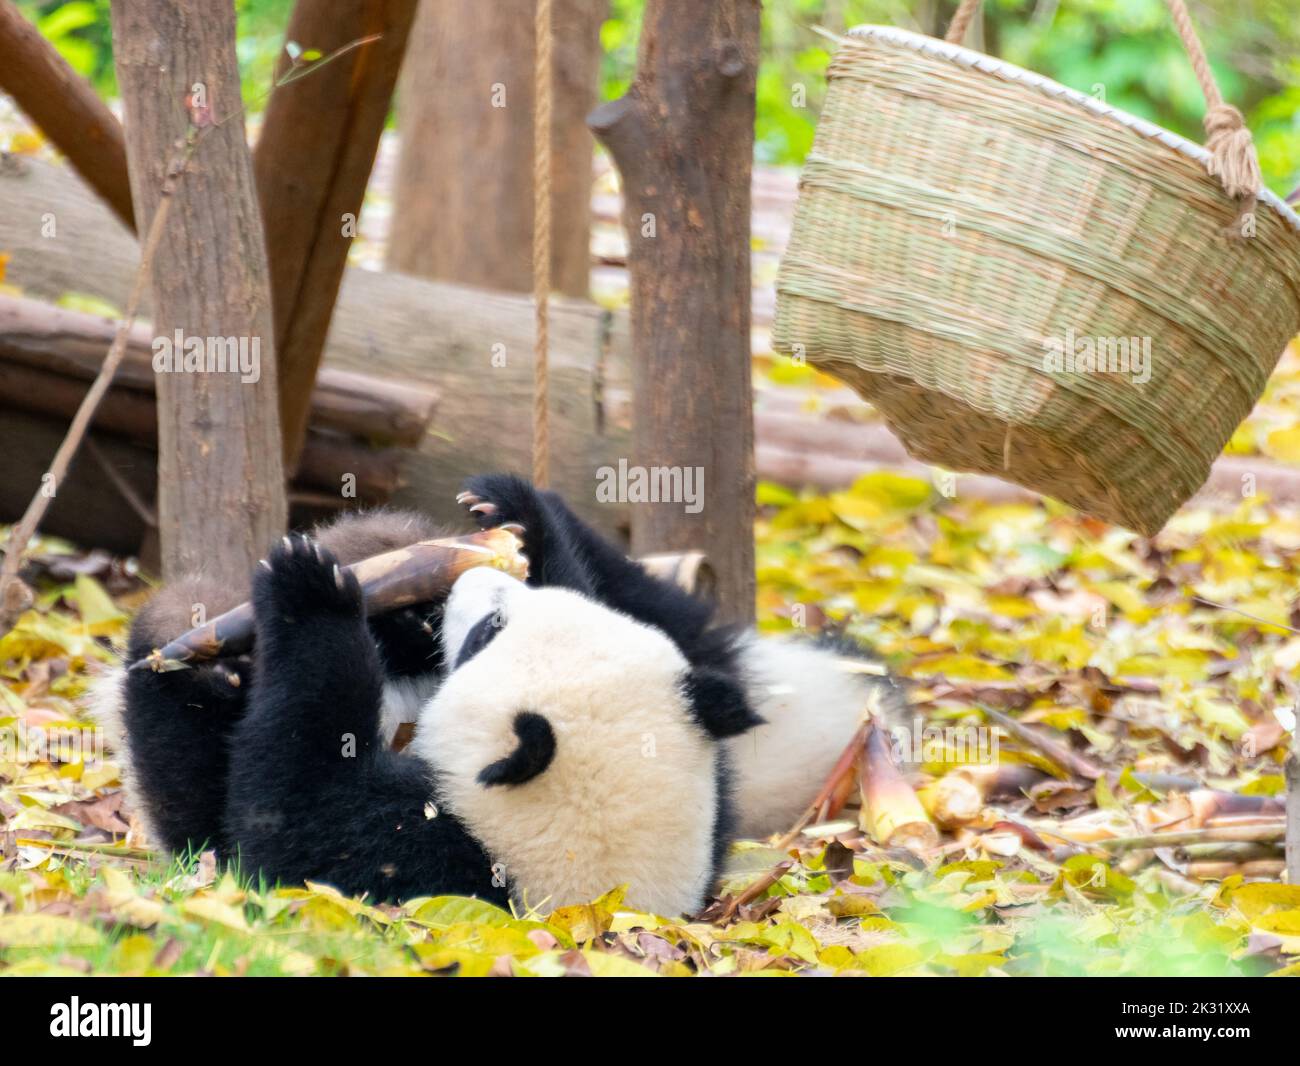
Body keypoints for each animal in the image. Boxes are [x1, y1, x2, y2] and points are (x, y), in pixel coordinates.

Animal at [90, 474, 905, 914]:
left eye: (487, 633)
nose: (476, 581)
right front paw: (512, 519)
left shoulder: (414, 860)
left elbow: (267, 826)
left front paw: (310, 594)